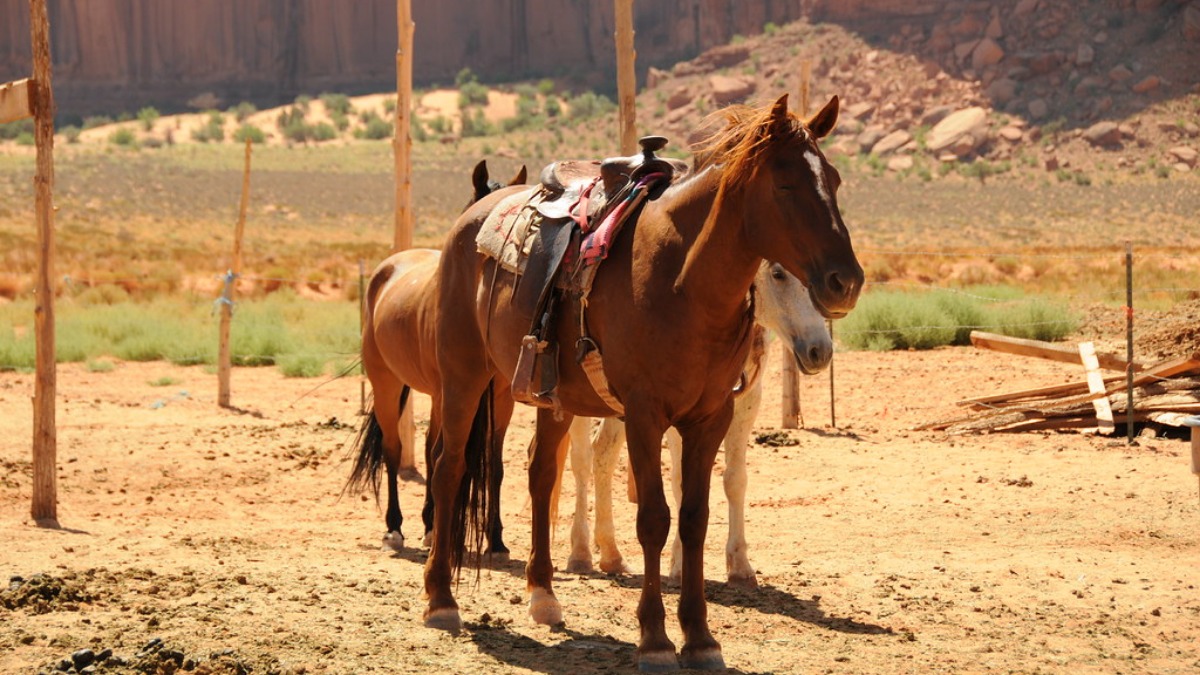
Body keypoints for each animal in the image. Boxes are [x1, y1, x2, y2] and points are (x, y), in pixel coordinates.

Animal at [347, 160, 525, 553]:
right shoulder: (452, 391)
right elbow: (441, 455)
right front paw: (433, 530)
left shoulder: (501, 399)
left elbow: (494, 465)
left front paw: (497, 538)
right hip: (388, 385)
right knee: (394, 449)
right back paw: (395, 528)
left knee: (427, 448)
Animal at [564, 261, 832, 588]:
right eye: (778, 273)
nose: (820, 351)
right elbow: (681, 481)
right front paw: (680, 568)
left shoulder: (747, 402)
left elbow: (735, 479)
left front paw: (740, 565)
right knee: (582, 460)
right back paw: (580, 553)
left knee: (603, 452)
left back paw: (611, 555)